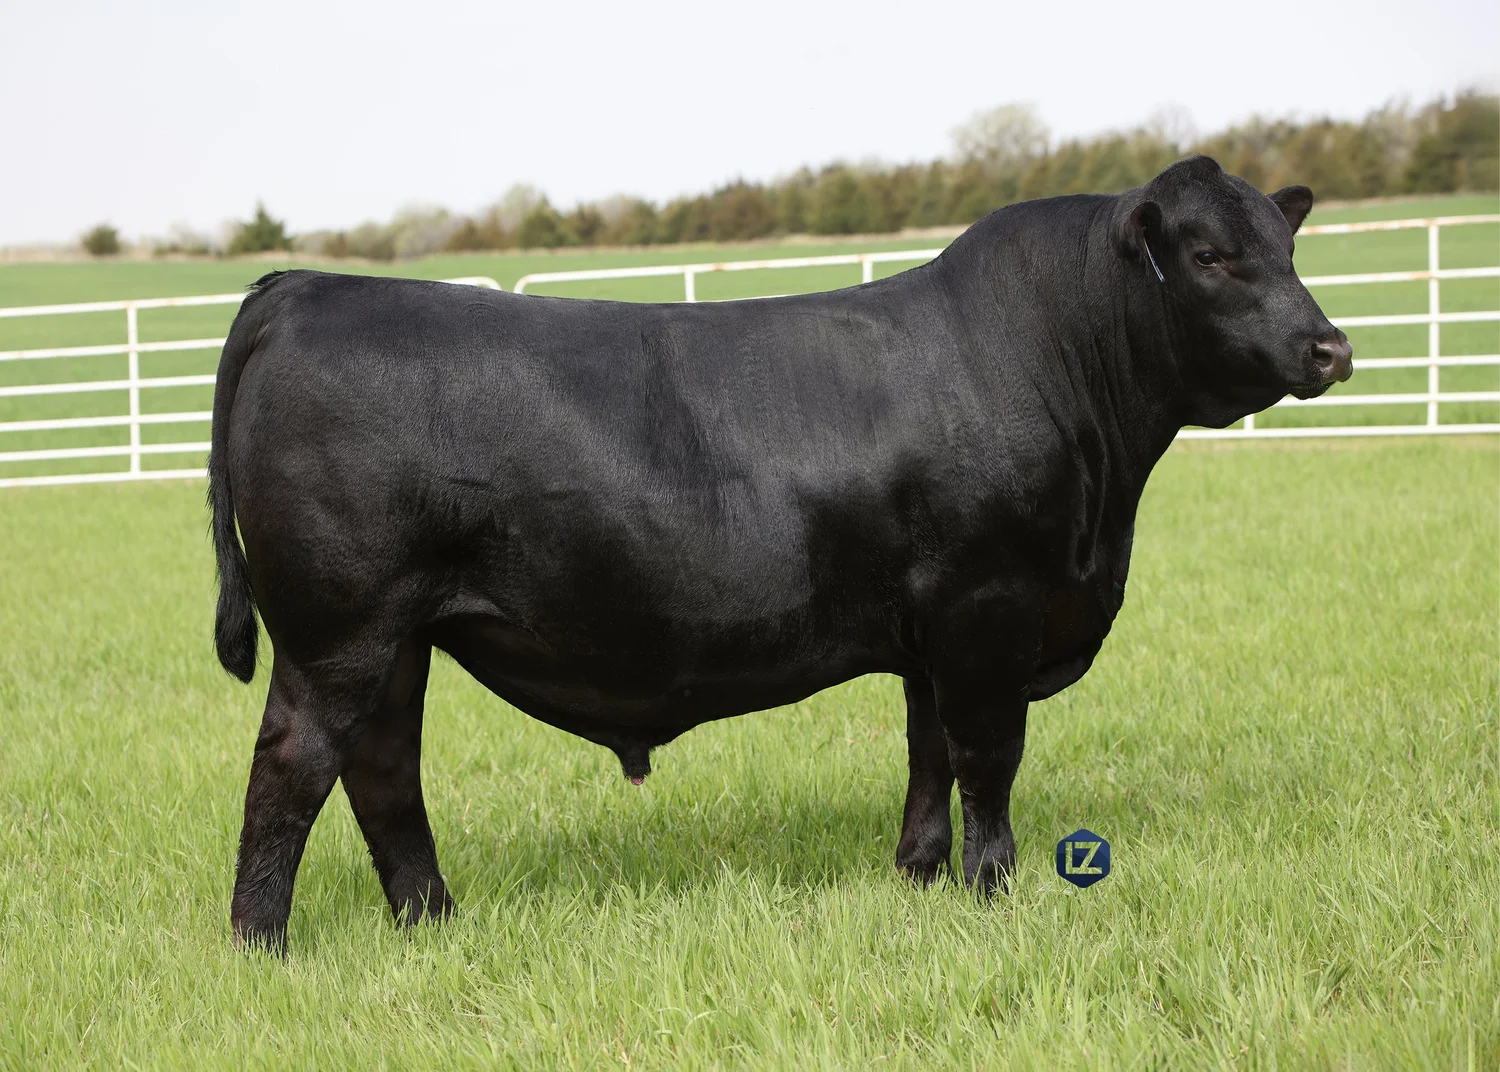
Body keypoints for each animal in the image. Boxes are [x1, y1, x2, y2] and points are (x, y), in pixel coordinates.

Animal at [210, 156, 1352, 952]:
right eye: (1210, 256)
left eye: (1290, 249)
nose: (1332, 347)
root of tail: (306, 288)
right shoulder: (989, 608)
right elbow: (988, 756)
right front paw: (993, 888)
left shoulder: (933, 627)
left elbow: (928, 752)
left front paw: (918, 876)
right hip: (339, 633)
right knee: (293, 769)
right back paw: (264, 947)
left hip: (397, 640)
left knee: (383, 774)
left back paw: (433, 922)